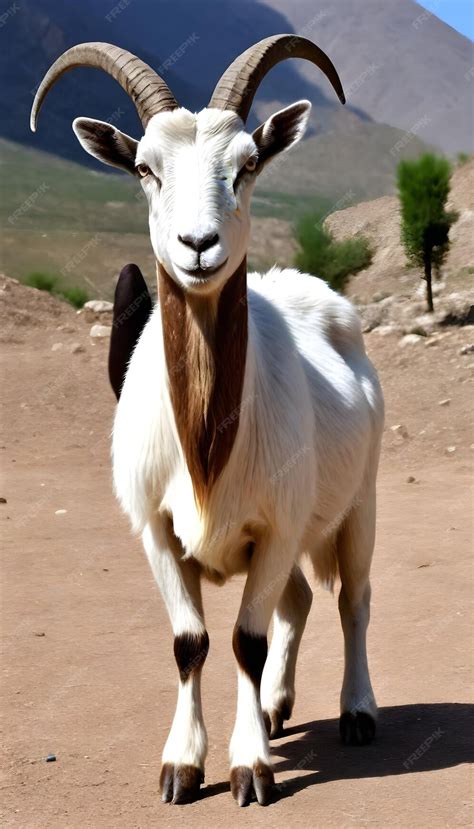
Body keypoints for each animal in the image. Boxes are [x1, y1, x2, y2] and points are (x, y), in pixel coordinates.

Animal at [31, 36, 384, 807]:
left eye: (247, 163)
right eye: (145, 168)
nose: (199, 245)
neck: (205, 445)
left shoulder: (276, 527)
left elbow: (245, 641)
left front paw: (249, 767)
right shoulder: (157, 529)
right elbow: (190, 641)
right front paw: (182, 766)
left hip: (357, 505)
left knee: (352, 600)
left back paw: (357, 711)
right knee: (300, 600)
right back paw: (278, 706)